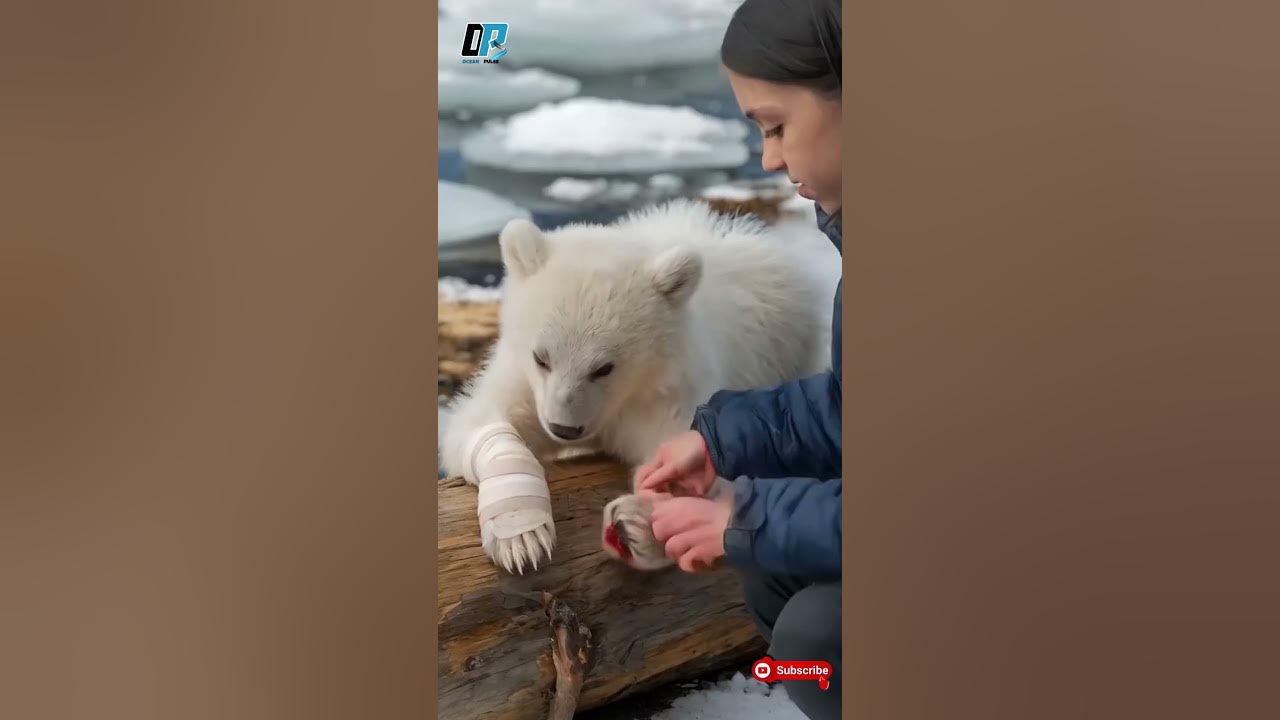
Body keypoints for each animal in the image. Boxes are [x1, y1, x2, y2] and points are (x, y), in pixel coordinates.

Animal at [440, 199, 838, 573]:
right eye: (541, 358)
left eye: (604, 368)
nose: (562, 428)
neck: (620, 399)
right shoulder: (523, 380)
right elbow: (479, 423)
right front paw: (521, 535)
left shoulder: (663, 389)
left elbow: (680, 444)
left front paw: (636, 526)